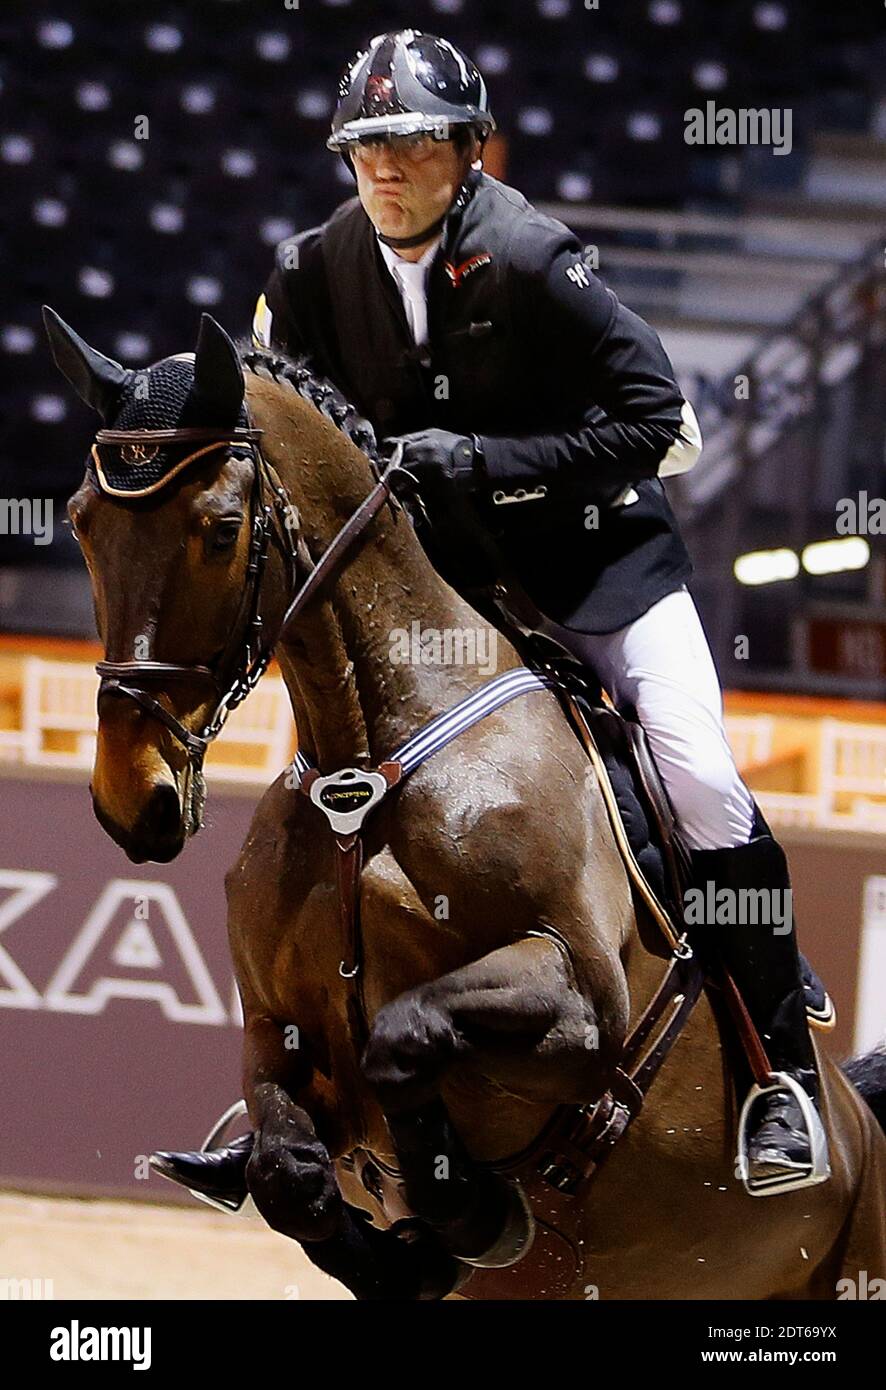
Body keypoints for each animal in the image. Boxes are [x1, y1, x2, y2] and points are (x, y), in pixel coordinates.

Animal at [45, 307, 886, 1300]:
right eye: (81, 521)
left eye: (219, 530)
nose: (131, 796)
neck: (362, 776)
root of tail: (863, 1125)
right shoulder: (273, 1029)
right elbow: (287, 1174)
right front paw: (402, 1247)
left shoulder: (579, 1001)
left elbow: (403, 1034)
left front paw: (469, 1211)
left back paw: (781, 1129)